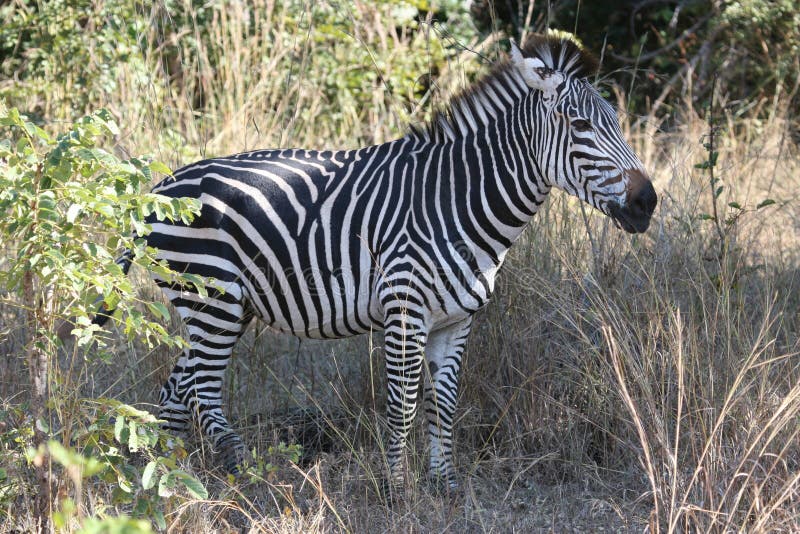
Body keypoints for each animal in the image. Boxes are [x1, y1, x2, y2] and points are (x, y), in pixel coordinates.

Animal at [94, 33, 656, 489]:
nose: (647, 202)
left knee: (176, 390)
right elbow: (403, 405)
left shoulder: (456, 319)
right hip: (214, 300)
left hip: (217, 307)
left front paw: (445, 486)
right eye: (579, 125)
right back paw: (242, 475)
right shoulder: (404, 310)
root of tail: (158, 189)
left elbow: (444, 403)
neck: (457, 198)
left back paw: (171, 482)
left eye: (618, 123)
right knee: (203, 392)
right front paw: (398, 490)